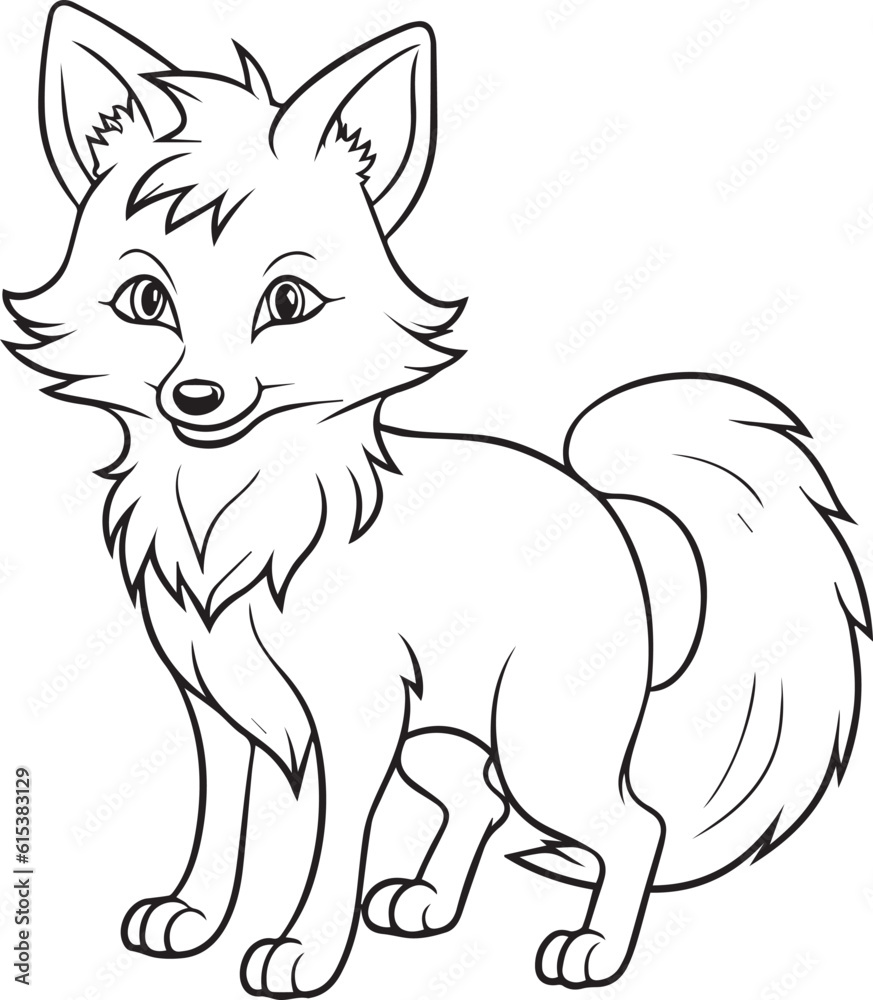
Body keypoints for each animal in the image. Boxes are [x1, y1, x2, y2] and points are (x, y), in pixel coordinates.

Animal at [4, 3, 869, 997]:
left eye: (287, 301)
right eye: (146, 300)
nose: (198, 397)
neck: (237, 512)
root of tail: (600, 502)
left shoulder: (353, 726)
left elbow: (331, 848)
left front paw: (303, 952)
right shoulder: (217, 712)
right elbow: (220, 826)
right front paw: (192, 917)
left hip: (537, 747)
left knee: (634, 823)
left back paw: (594, 950)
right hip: (442, 737)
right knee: (478, 801)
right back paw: (426, 903)